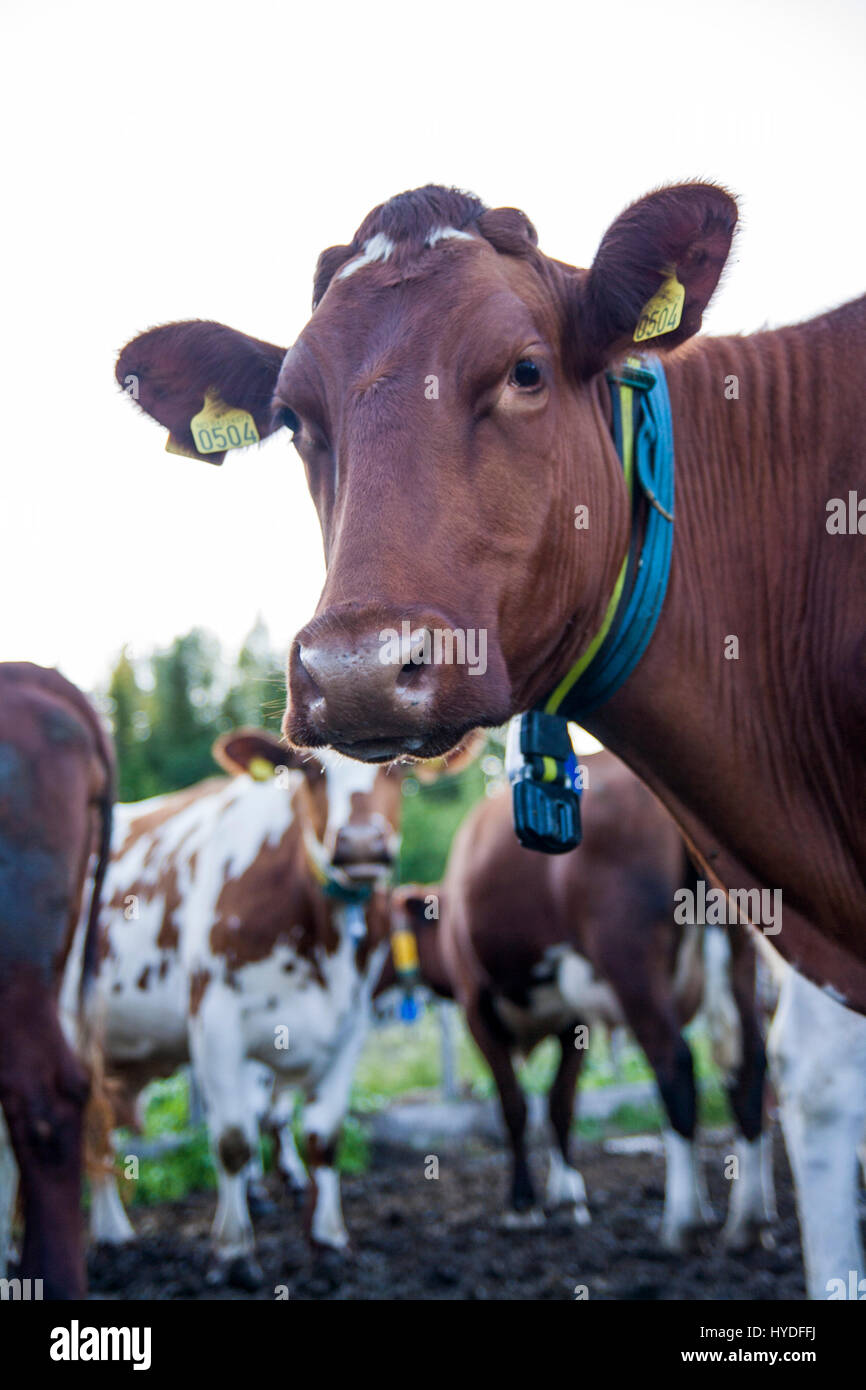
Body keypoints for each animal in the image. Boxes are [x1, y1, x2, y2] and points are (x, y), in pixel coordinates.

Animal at [81, 727, 403, 1283]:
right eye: (309, 771)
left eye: (400, 770)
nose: (362, 843)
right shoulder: (216, 1025)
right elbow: (233, 1140)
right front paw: (233, 1251)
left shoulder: (350, 1027)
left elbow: (324, 1140)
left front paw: (329, 1239)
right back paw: (109, 1232)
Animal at [392, 753, 774, 1252]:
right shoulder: (576, 1020)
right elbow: (560, 1102)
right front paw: (568, 1195)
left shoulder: (477, 1007)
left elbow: (513, 1106)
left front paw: (523, 1205)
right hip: (739, 954)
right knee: (750, 1065)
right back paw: (747, 1222)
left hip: (629, 957)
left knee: (676, 1064)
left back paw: (681, 1221)